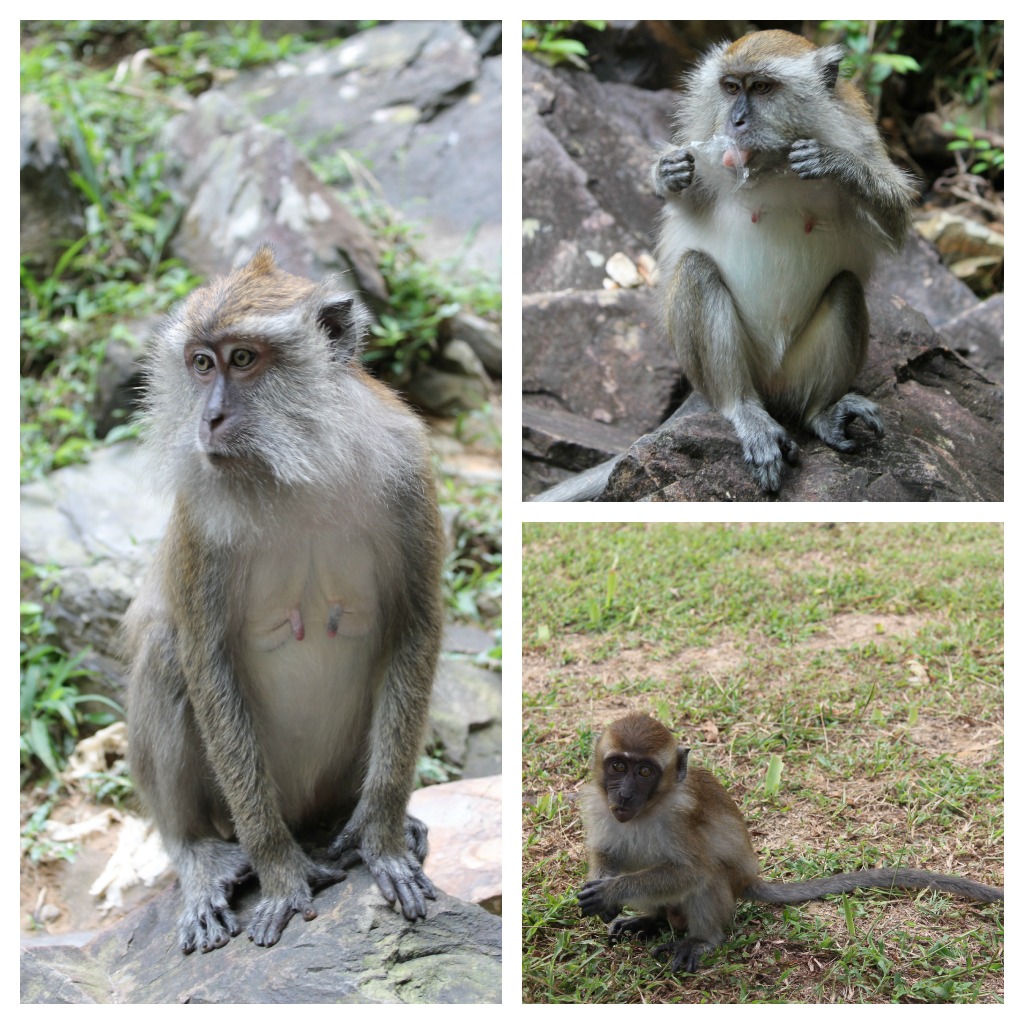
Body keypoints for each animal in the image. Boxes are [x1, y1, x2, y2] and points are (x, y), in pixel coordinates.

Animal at [123, 245, 444, 954]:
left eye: (243, 358)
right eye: (201, 363)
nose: (208, 418)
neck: (298, 469)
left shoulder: (408, 467)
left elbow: (415, 627)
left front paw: (382, 836)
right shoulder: (201, 516)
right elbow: (207, 660)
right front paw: (279, 872)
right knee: (166, 650)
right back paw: (199, 853)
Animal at [532, 29, 916, 500]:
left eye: (762, 88)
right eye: (731, 88)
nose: (735, 122)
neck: (774, 166)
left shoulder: (859, 134)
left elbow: (895, 223)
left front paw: (835, 163)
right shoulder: (706, 147)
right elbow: (685, 205)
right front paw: (666, 173)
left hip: (794, 372)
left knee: (845, 287)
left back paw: (821, 412)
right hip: (729, 371)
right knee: (697, 271)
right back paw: (745, 411)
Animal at [577, 714, 1003, 973]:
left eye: (645, 772)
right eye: (619, 766)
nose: (625, 794)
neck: (648, 810)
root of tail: (749, 881)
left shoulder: (680, 820)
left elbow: (692, 871)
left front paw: (612, 891)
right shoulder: (599, 804)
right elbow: (607, 852)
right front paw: (604, 889)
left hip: (728, 885)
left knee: (709, 877)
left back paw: (700, 939)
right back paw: (651, 919)